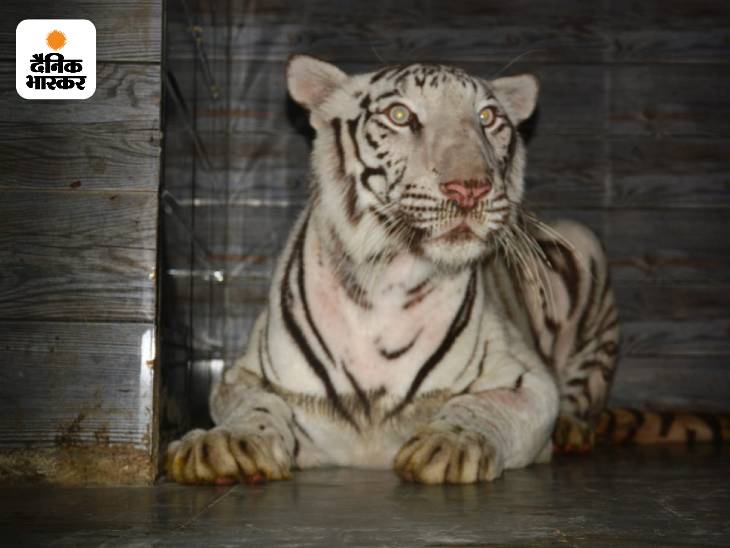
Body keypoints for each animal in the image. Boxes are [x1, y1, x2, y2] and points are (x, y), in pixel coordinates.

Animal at [166, 55, 722, 486]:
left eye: (489, 117)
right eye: (399, 114)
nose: (470, 187)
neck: (388, 277)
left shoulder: (526, 379)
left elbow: (483, 406)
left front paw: (450, 445)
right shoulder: (243, 374)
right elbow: (255, 406)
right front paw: (225, 445)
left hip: (581, 246)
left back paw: (571, 430)